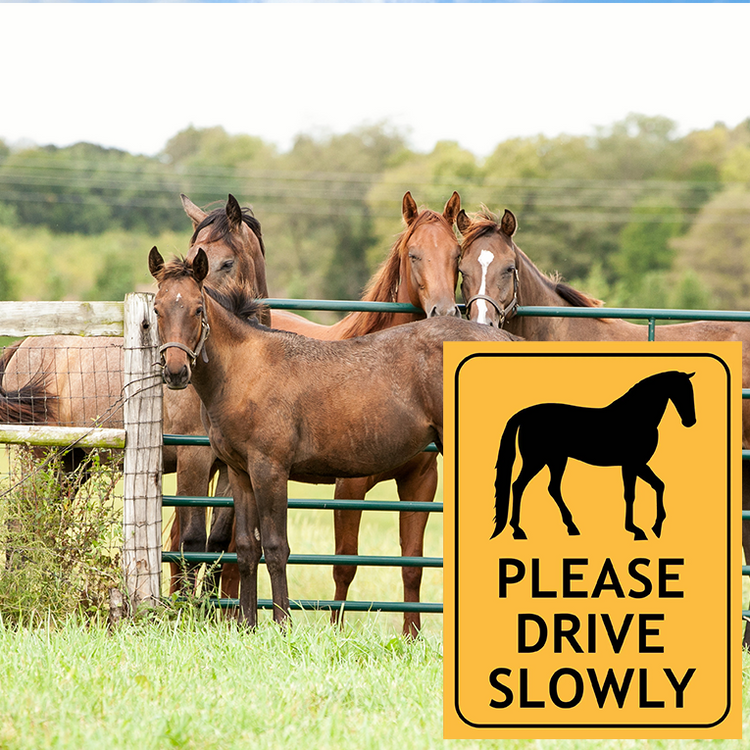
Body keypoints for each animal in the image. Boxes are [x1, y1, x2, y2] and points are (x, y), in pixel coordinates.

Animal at [1, 194, 268, 594]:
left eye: (227, 261)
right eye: (195, 253)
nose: (176, 368)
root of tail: (24, 345)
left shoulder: (227, 465)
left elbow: (220, 541)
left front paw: (206, 604)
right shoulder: (194, 460)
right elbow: (191, 539)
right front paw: (184, 605)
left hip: (71, 464)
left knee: (48, 525)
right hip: (39, 461)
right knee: (25, 523)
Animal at [149, 247, 517, 628]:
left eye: (197, 309)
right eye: (157, 309)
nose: (175, 372)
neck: (244, 368)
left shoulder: (270, 469)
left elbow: (276, 547)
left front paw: (282, 625)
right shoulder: (239, 472)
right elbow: (248, 547)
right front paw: (249, 627)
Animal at [219, 191, 464, 637]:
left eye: (457, 254)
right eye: (414, 254)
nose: (445, 313)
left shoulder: (421, 483)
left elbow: (413, 564)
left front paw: (412, 635)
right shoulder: (349, 487)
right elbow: (344, 563)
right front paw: (334, 630)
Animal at [492, 371, 696, 541]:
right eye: (682, 392)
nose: (690, 421)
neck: (635, 417)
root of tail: (525, 414)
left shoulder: (637, 464)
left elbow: (658, 485)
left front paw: (656, 526)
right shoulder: (631, 464)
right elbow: (630, 494)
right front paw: (636, 530)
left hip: (556, 460)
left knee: (552, 488)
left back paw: (571, 527)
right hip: (536, 460)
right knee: (519, 486)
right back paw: (518, 530)